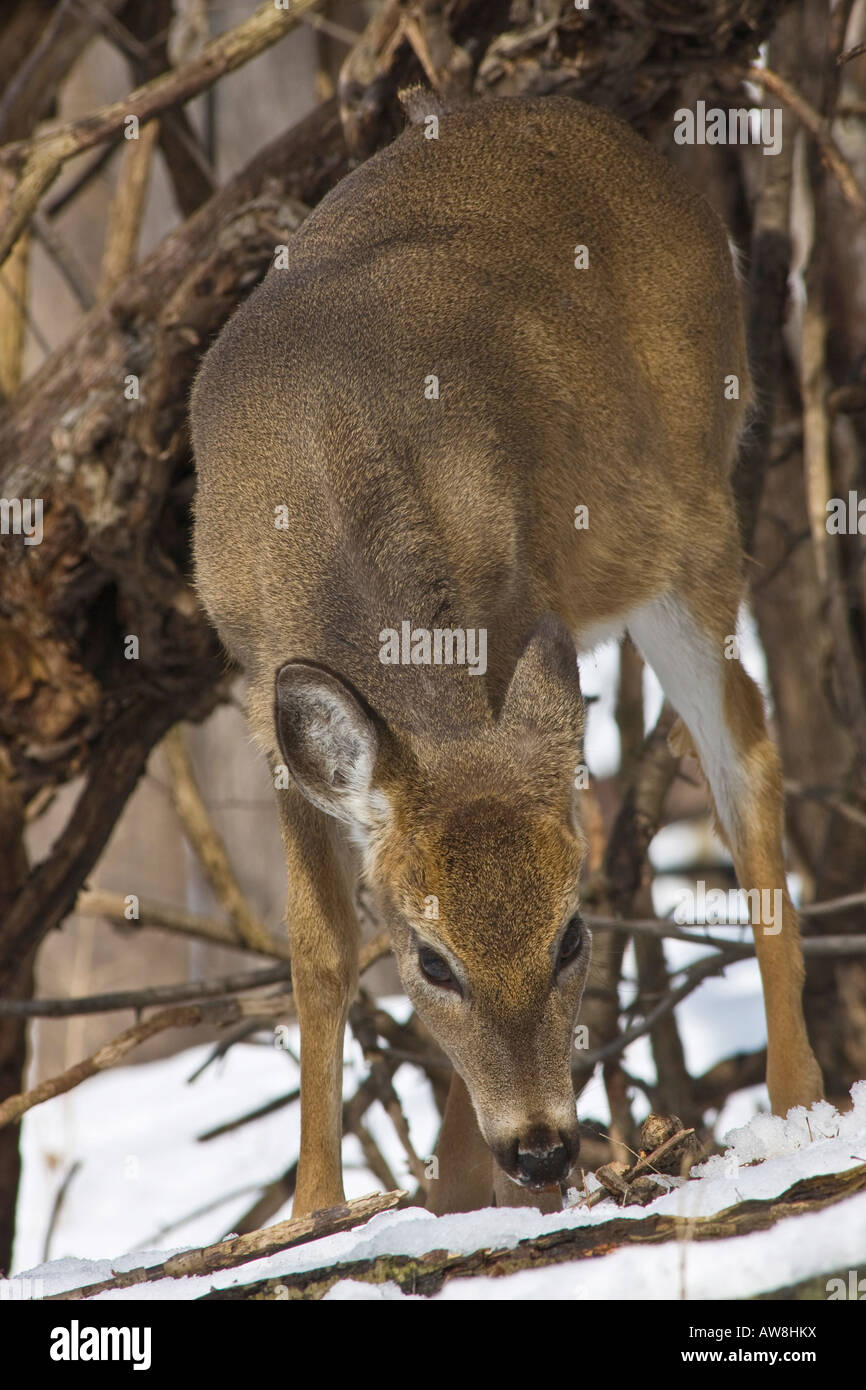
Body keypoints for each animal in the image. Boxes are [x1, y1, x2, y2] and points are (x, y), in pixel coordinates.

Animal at [190, 93, 823, 1219]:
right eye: (431, 962)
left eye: (570, 935)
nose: (539, 1147)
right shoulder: (262, 691)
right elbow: (320, 947)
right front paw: (315, 1211)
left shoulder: (523, 612)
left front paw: (463, 1201)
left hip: (688, 523)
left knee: (742, 751)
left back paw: (797, 1109)